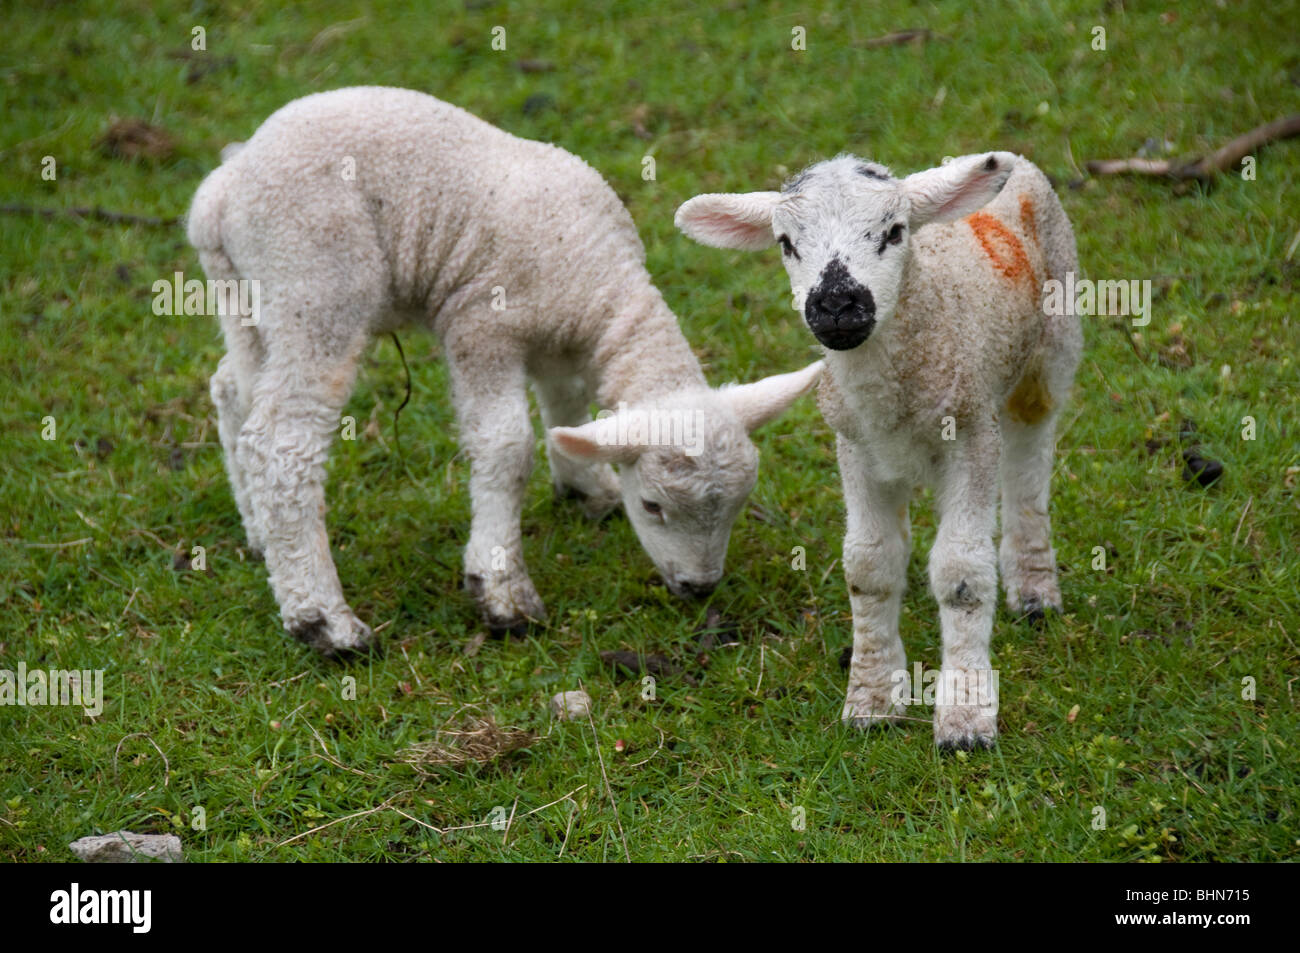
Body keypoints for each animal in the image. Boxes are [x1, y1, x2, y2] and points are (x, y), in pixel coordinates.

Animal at [187, 86, 821, 656]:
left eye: (737, 505)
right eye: (652, 506)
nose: (698, 588)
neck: (599, 287)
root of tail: (222, 190)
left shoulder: (561, 345)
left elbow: (567, 413)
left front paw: (585, 483)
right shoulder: (481, 326)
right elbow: (506, 447)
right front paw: (501, 589)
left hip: (246, 294)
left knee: (234, 393)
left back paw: (261, 538)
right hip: (316, 280)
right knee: (281, 442)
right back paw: (322, 620)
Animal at [676, 152, 1081, 748]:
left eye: (894, 232)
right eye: (785, 243)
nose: (836, 305)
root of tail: (1023, 163)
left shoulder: (971, 434)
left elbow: (962, 571)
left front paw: (965, 715)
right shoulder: (856, 448)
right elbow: (868, 565)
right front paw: (870, 700)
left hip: (1052, 343)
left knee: (1029, 462)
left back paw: (1034, 590)